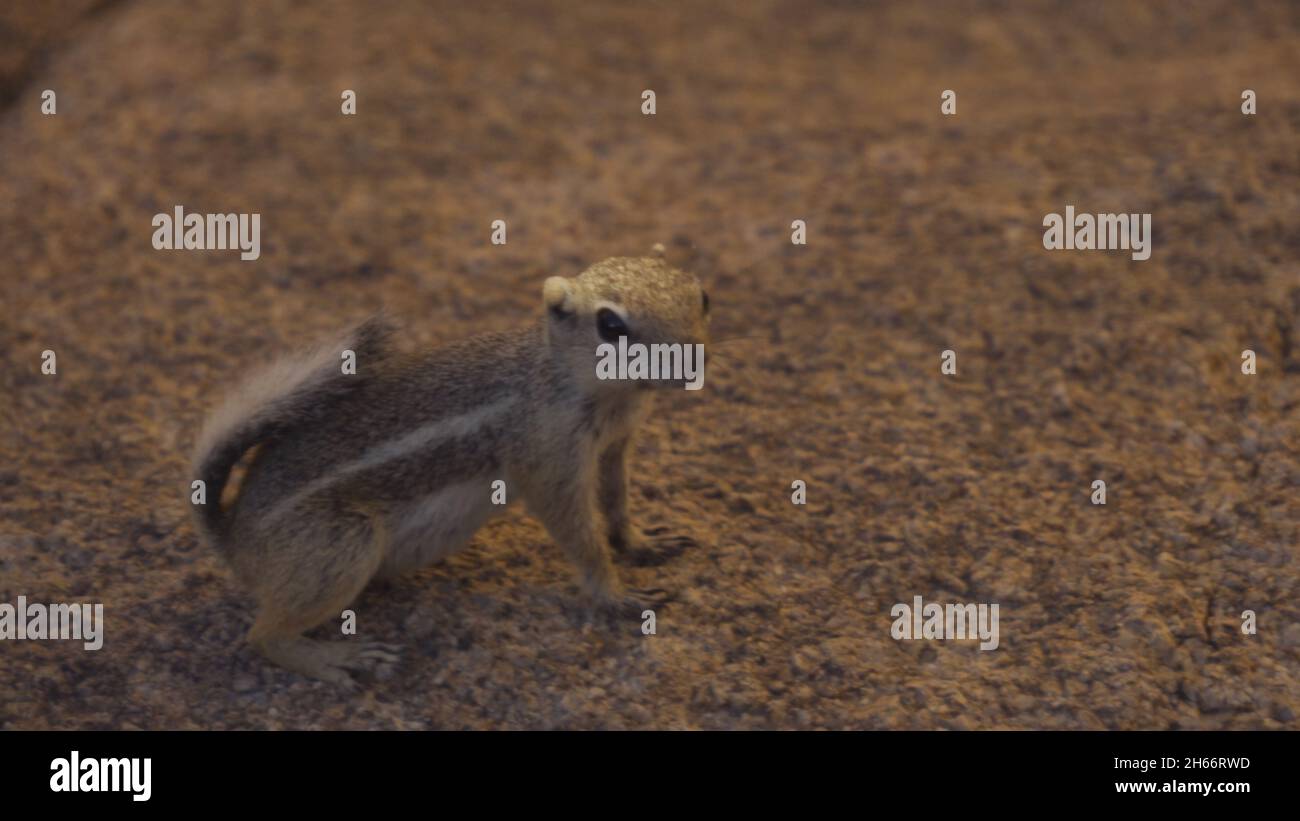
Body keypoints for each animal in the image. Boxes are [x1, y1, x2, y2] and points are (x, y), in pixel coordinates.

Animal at [190, 256, 710, 687]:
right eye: (610, 324)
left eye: (702, 296)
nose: (689, 363)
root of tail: (235, 543)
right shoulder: (548, 460)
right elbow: (580, 535)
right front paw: (616, 596)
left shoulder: (614, 445)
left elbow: (617, 501)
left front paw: (643, 544)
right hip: (338, 547)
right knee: (263, 636)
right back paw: (340, 659)